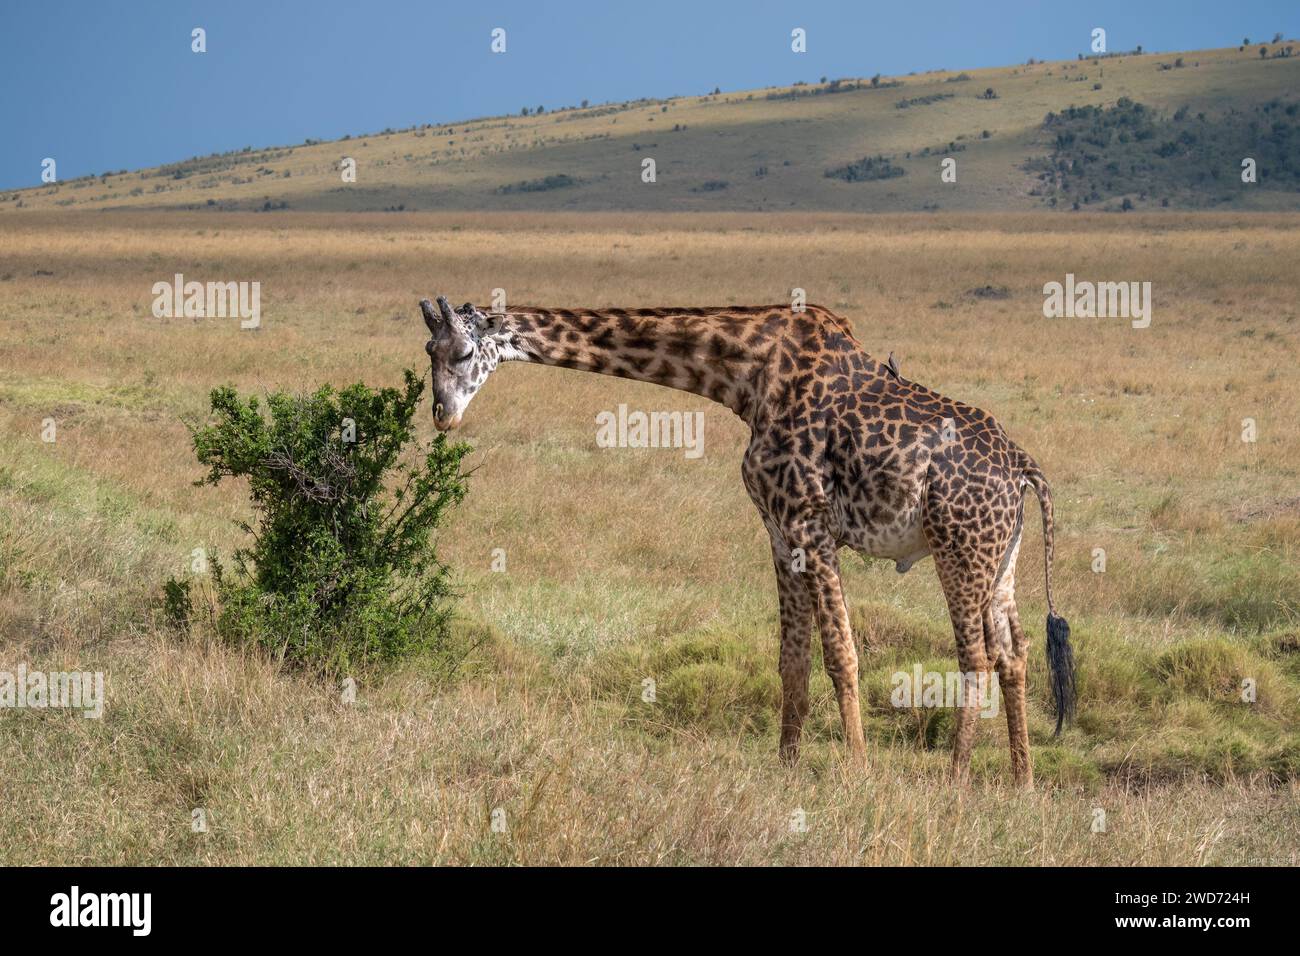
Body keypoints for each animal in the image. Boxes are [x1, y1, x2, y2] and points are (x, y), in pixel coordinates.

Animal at [419, 295, 1075, 787]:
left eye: (466, 350)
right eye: (428, 351)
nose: (442, 415)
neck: (745, 376)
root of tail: (1023, 468)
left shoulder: (809, 520)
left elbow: (842, 653)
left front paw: (858, 770)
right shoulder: (779, 529)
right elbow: (793, 658)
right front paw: (786, 765)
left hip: (960, 550)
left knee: (977, 656)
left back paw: (958, 777)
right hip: (1002, 559)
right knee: (1014, 652)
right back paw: (1021, 780)